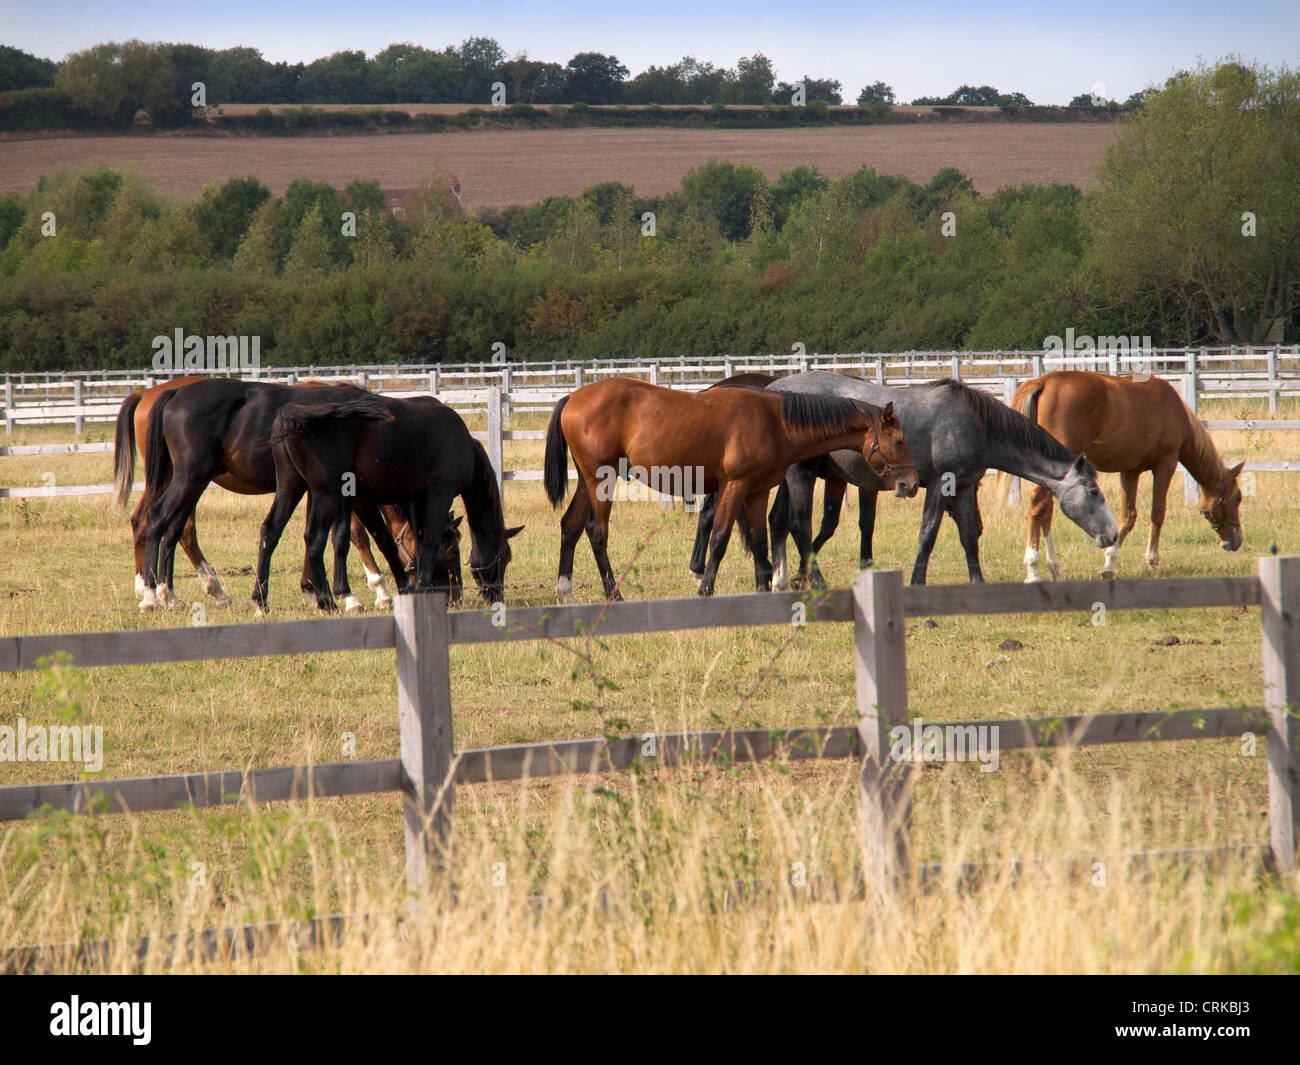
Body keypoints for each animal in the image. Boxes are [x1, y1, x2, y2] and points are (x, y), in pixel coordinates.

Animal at [113, 377, 451, 609]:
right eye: (450, 545)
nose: (449, 590)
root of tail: (167, 393)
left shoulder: (317, 490)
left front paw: (312, 587)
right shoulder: (354, 494)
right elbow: (365, 536)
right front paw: (375, 591)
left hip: (186, 480)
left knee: (171, 528)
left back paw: (170, 592)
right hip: (187, 478)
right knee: (156, 521)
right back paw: (154, 593)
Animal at [256, 389, 523, 614]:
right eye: (505, 557)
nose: (496, 596)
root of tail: (293, 417)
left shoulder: (416, 498)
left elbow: (409, 543)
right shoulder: (439, 494)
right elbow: (428, 543)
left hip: (290, 489)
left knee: (270, 532)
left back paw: (261, 600)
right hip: (324, 495)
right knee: (314, 541)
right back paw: (326, 601)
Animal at [543, 377, 918, 598]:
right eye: (898, 440)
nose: (911, 482)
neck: (775, 421)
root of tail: (573, 396)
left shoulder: (756, 492)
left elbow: (759, 540)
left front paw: (763, 587)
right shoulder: (735, 487)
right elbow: (721, 537)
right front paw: (706, 588)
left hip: (588, 481)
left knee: (570, 526)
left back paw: (564, 589)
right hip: (601, 480)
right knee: (596, 531)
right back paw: (613, 593)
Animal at [695, 372, 1119, 586]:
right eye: (1093, 491)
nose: (1113, 534)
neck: (973, 423)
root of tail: (774, 389)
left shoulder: (965, 487)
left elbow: (968, 537)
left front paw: (978, 583)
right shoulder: (941, 485)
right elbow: (928, 533)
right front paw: (916, 582)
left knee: (778, 524)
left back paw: (784, 579)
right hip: (801, 475)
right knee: (799, 526)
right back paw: (811, 580)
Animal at [1000, 371, 1245, 582]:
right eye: (1238, 498)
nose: (1236, 541)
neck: (1175, 411)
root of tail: (1043, 381)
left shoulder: (1130, 472)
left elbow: (1128, 516)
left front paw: (1109, 564)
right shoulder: (1165, 465)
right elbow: (1157, 513)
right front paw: (1152, 560)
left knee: (1046, 511)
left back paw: (1055, 569)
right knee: (1039, 506)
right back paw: (1033, 570)